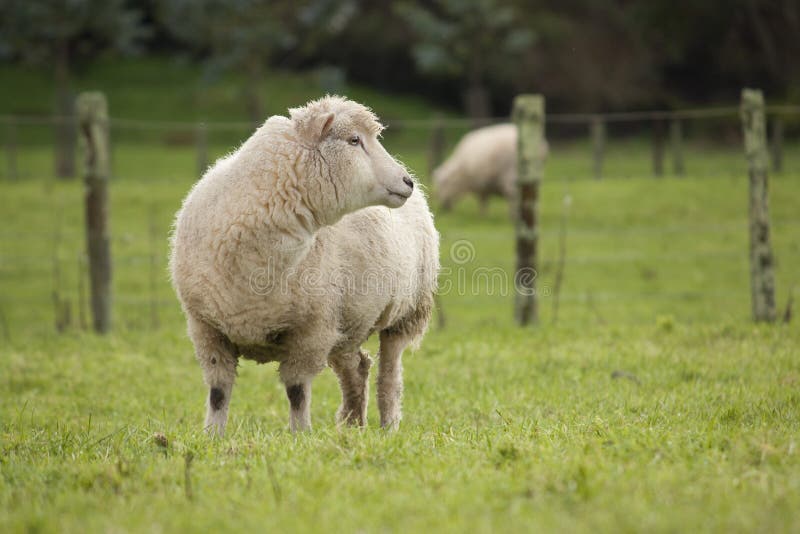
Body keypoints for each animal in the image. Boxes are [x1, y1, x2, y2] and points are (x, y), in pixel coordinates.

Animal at [169, 96, 439, 434]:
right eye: (354, 140)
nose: (407, 182)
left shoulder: (312, 332)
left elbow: (297, 391)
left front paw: (300, 434)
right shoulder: (206, 328)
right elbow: (219, 392)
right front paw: (212, 435)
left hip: (404, 312)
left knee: (390, 375)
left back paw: (388, 426)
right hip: (347, 320)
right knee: (358, 367)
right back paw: (352, 425)